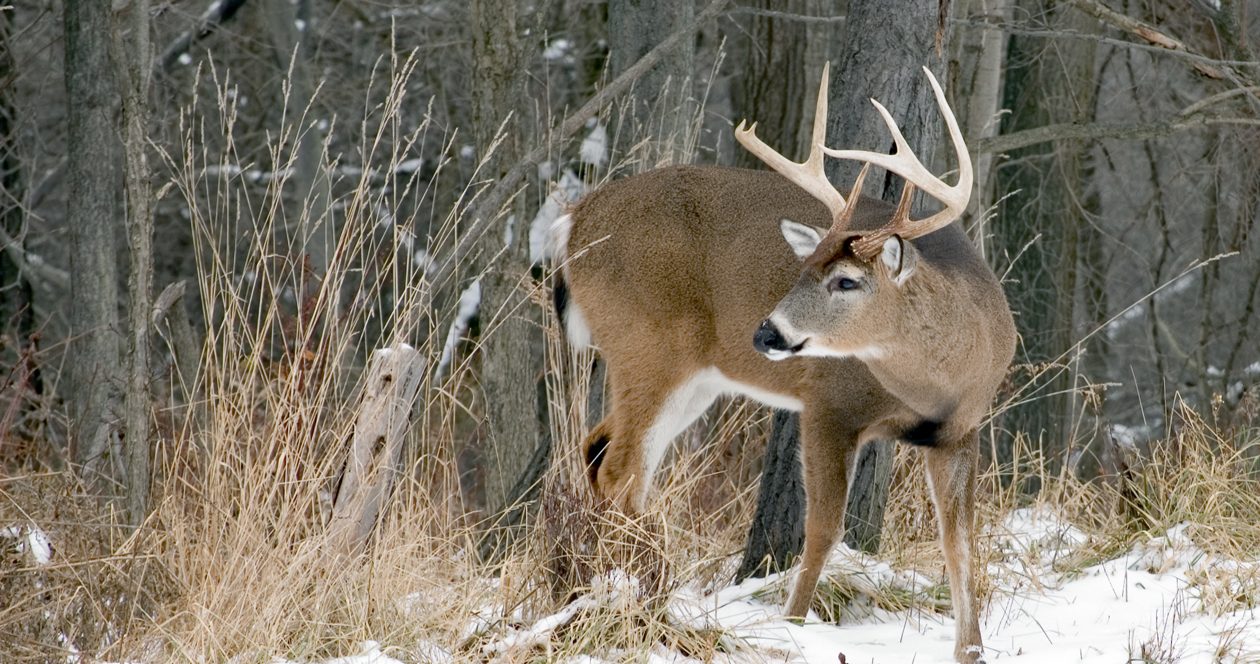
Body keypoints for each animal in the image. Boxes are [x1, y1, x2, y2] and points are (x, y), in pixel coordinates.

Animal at [552, 63, 1015, 664]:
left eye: (847, 281)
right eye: (802, 269)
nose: (766, 332)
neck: (936, 384)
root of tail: (573, 223)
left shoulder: (960, 431)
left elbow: (959, 540)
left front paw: (971, 649)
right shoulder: (828, 406)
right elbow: (823, 528)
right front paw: (794, 624)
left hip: (692, 377)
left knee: (605, 453)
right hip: (648, 345)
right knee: (618, 468)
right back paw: (632, 587)